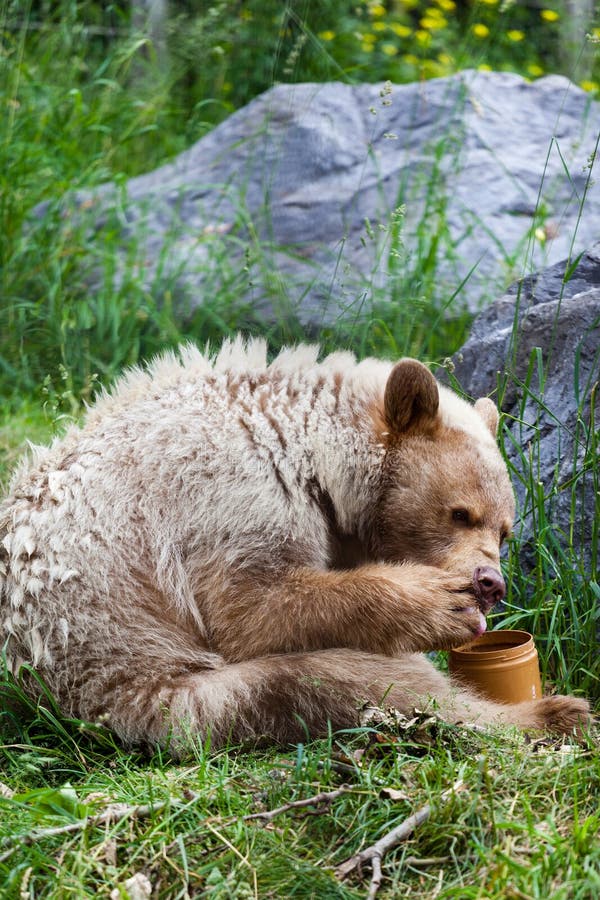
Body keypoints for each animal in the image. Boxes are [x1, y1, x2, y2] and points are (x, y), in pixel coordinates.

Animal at [0, 337, 589, 751]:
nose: (489, 583)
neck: (304, 444)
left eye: (505, 530)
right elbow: (252, 609)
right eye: (460, 513)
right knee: (351, 683)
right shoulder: (229, 493)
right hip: (155, 681)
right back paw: (548, 715)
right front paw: (439, 603)